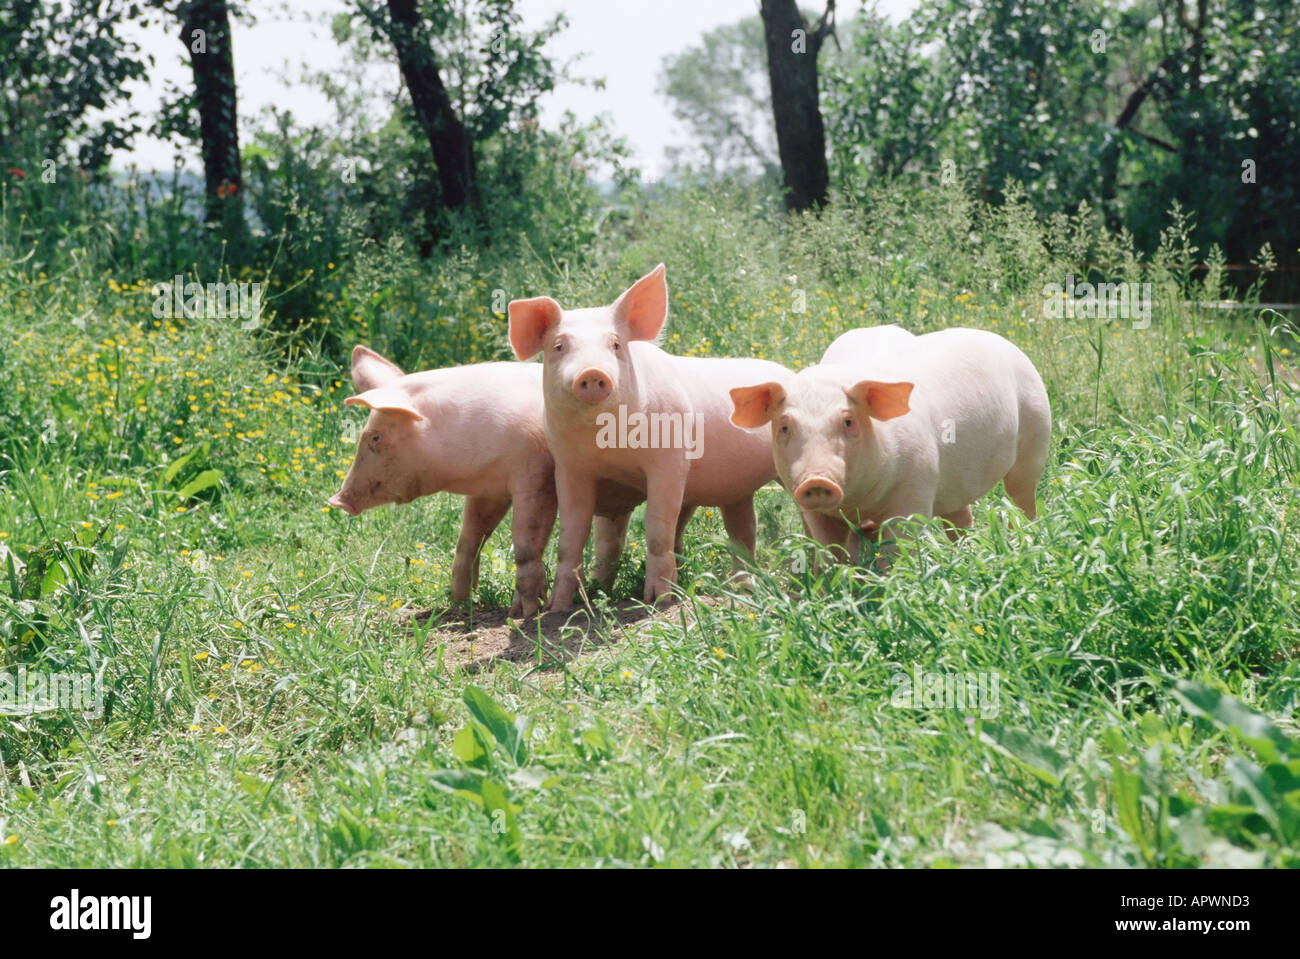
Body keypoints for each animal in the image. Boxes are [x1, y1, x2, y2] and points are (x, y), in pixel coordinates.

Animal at [327, 345, 558, 618]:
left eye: (375, 437)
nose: (337, 500)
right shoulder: (491, 487)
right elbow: (469, 537)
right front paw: (461, 601)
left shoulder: (537, 474)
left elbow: (525, 541)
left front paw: (526, 612)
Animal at [508, 264, 793, 611]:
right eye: (559, 346)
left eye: (616, 344)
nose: (592, 372)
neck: (608, 443)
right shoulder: (569, 468)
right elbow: (571, 537)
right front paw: (558, 608)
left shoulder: (671, 460)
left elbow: (658, 529)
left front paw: (659, 601)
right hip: (737, 491)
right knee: (743, 532)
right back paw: (742, 589)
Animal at [730, 327, 1050, 558]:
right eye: (785, 426)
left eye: (848, 421)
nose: (817, 480)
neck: (858, 504)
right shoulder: (815, 512)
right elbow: (831, 554)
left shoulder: (915, 488)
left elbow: (896, 550)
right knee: (961, 515)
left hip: (1036, 435)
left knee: (1023, 496)